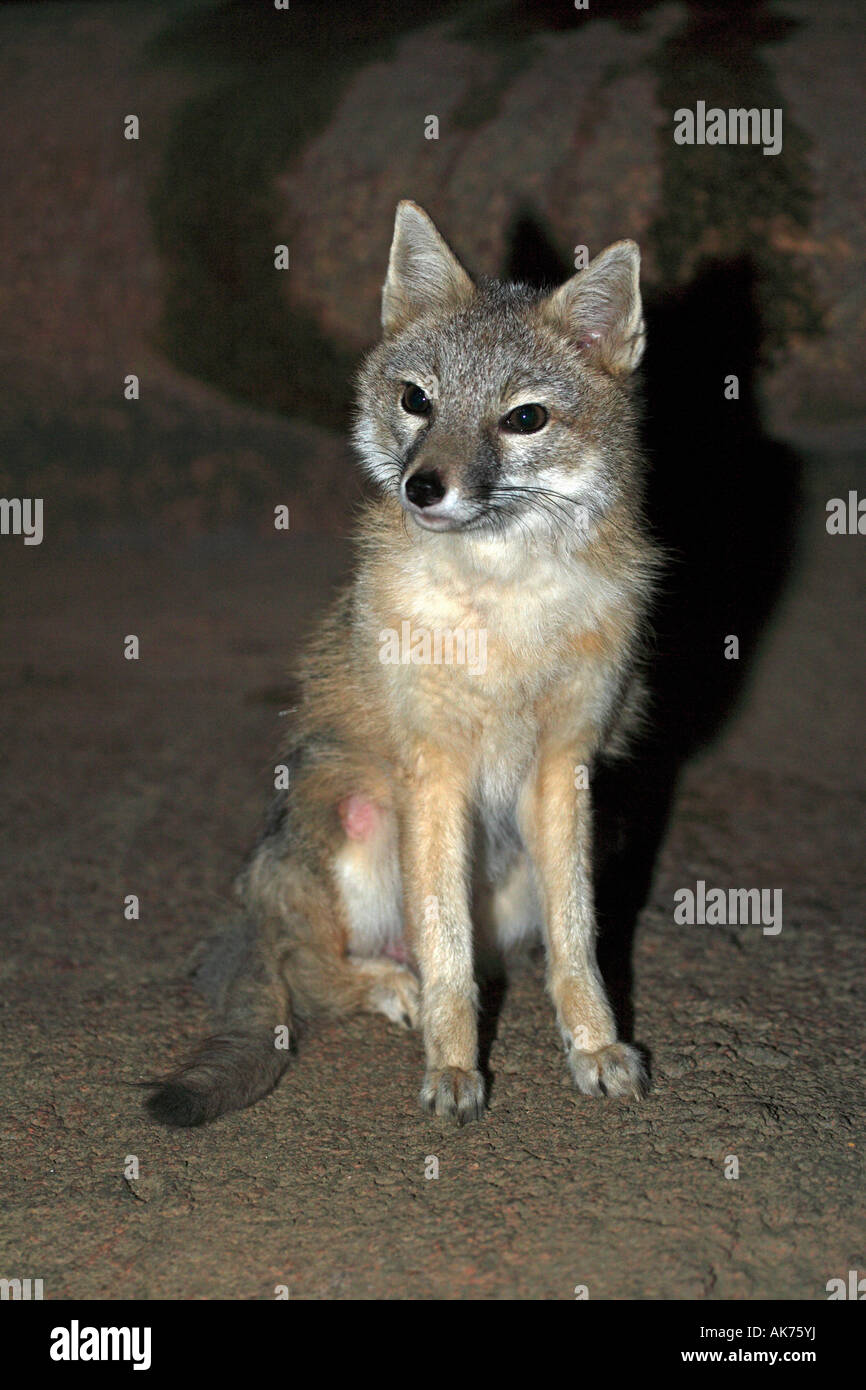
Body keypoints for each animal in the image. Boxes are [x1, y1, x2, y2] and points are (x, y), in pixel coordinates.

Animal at [147, 201, 660, 1128]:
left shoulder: (565, 768)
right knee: (319, 972)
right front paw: (453, 1067)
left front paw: (595, 1045)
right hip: (362, 821)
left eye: (524, 419)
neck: (503, 613)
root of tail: (252, 909)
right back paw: (393, 987)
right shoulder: (434, 768)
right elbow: (445, 946)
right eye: (417, 401)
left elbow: (578, 945)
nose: (425, 487)